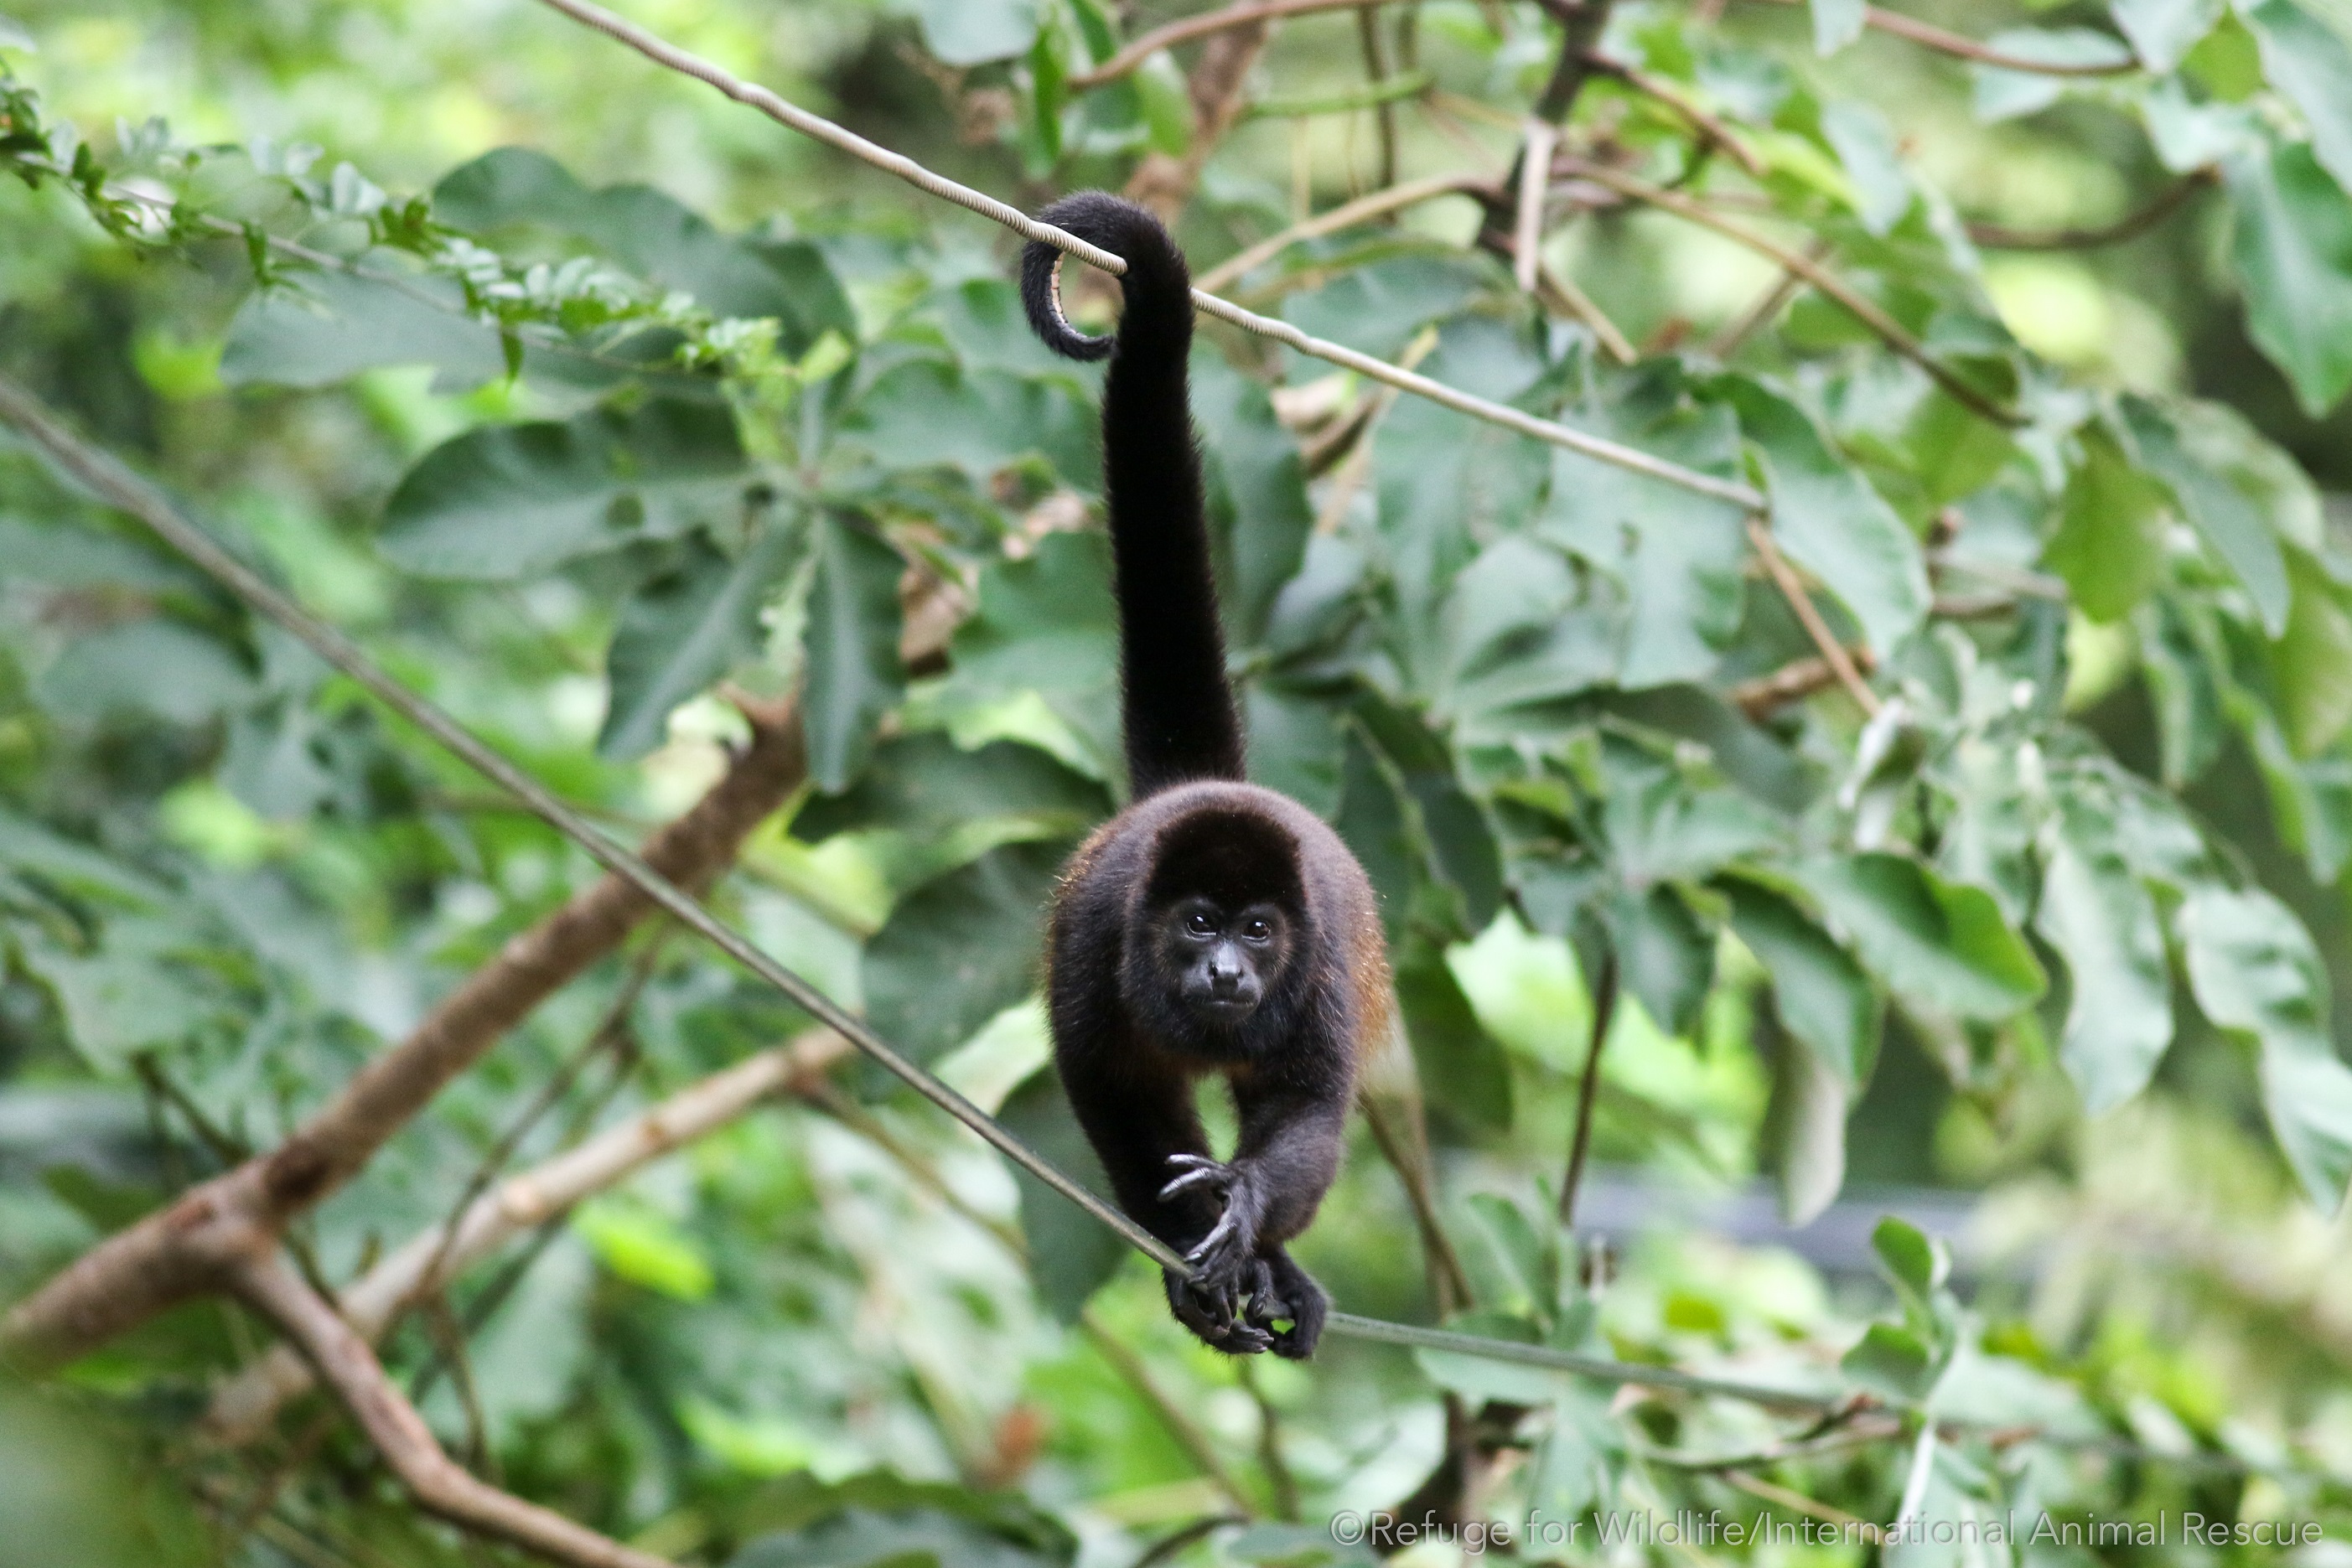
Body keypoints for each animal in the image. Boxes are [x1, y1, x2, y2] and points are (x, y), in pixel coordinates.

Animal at [1018, 193, 1391, 1359]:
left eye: (1258, 930)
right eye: (1195, 922)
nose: (1226, 969)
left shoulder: (1319, 963)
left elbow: (1311, 1109)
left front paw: (1244, 1209)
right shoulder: (1099, 929)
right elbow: (1107, 1087)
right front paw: (1200, 1252)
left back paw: (1276, 1267)